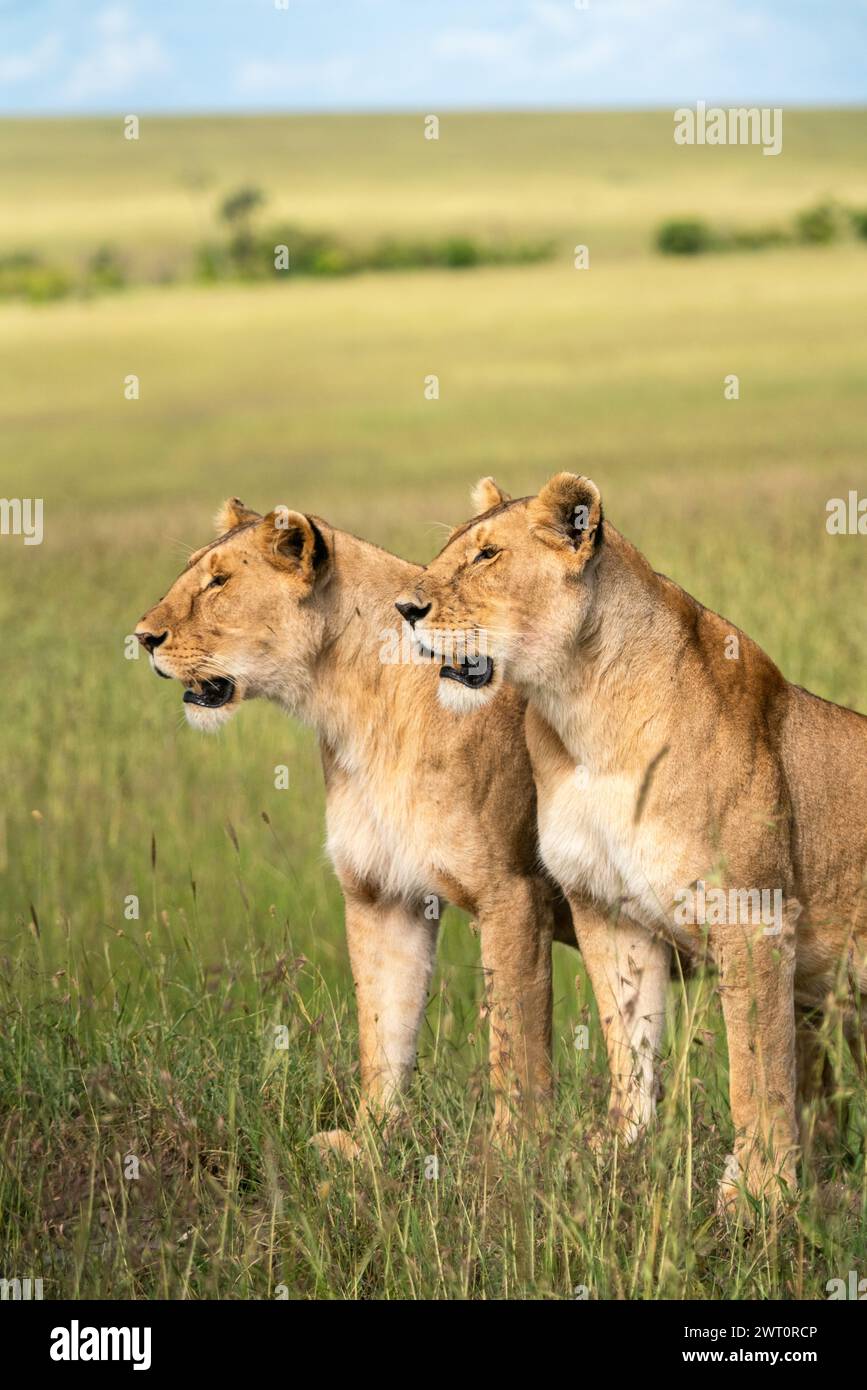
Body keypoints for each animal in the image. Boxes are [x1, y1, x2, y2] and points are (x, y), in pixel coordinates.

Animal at [134, 493, 630, 1158]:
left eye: (219, 581)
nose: (142, 638)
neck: (355, 705)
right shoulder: (381, 892)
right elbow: (383, 1028)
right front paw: (369, 1140)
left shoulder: (513, 891)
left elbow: (515, 1039)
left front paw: (512, 1153)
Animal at [396, 474, 867, 1207]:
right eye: (448, 551)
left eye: (487, 555)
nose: (404, 609)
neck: (584, 713)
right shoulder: (608, 910)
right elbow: (629, 1044)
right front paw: (618, 1153)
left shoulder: (752, 917)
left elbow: (757, 1070)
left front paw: (758, 1193)